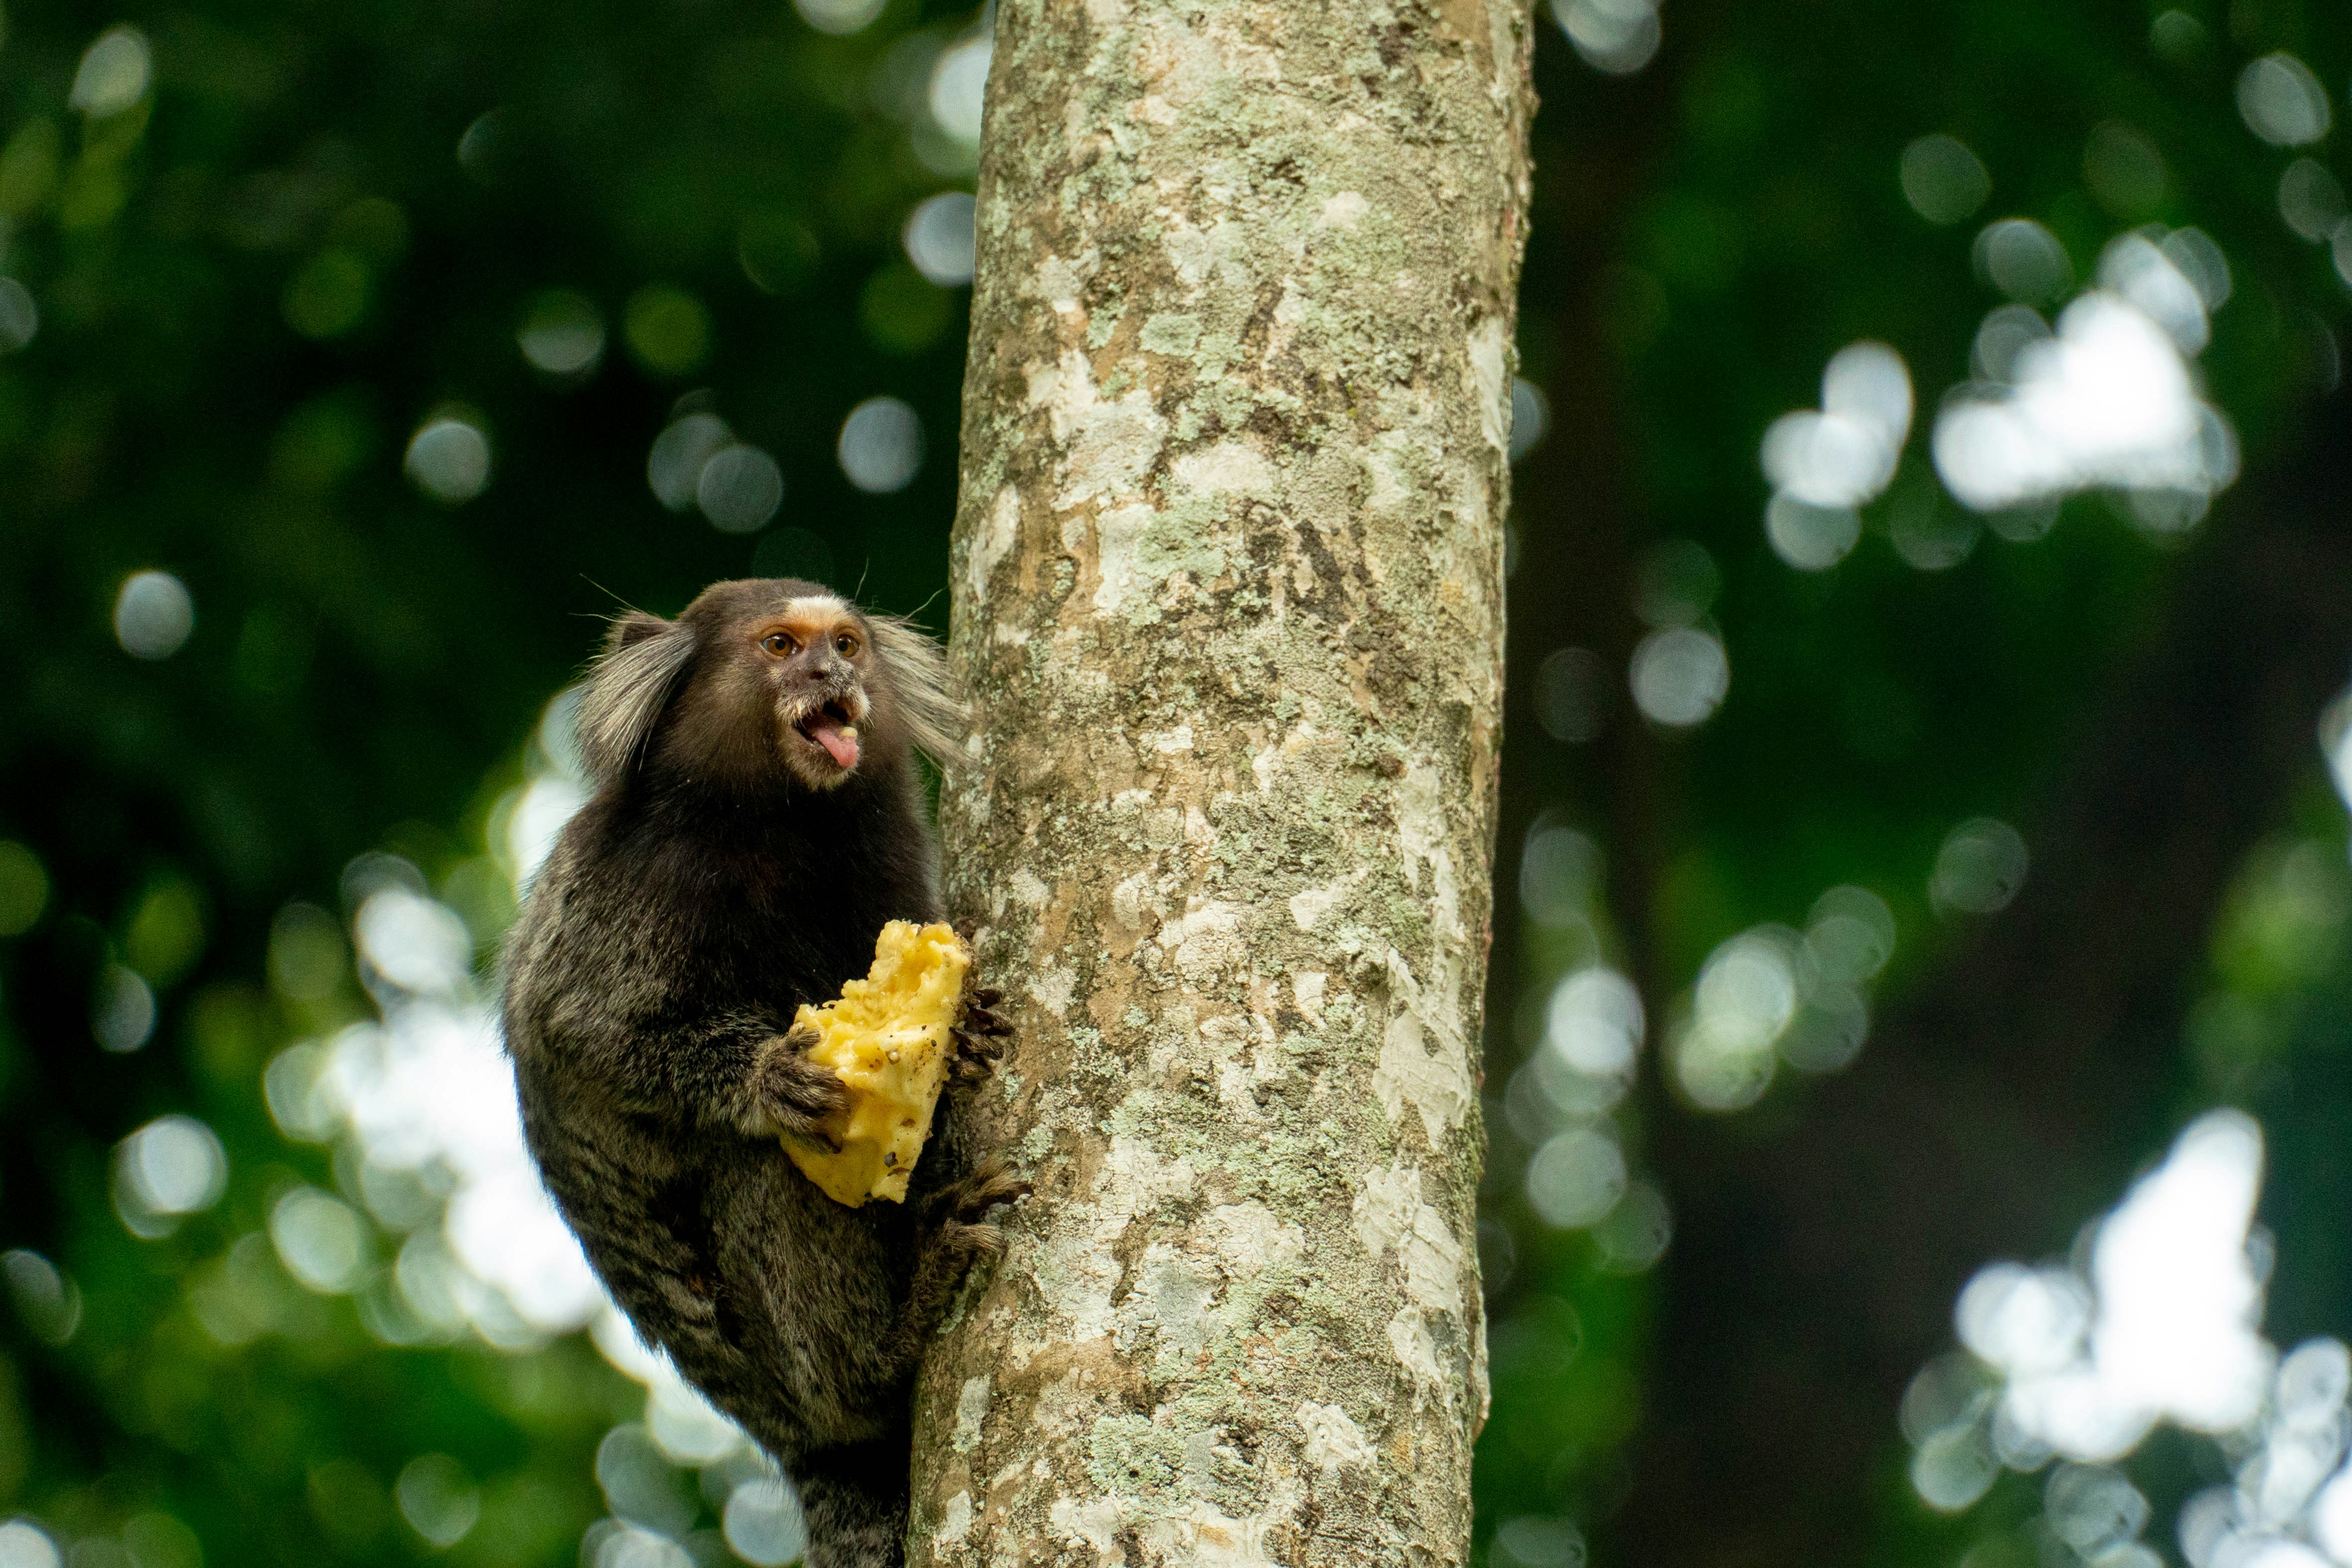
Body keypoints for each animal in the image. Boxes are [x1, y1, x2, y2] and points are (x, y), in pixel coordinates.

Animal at [500, 577, 1024, 1568]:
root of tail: (788, 1437)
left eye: (847, 645)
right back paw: (890, 1346)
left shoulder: (889, 860)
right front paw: (767, 1078)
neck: (785, 829)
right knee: (763, 1167)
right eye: (781, 646)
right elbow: (584, 1029)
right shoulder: (627, 888)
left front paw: (963, 1030)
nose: (829, 676)